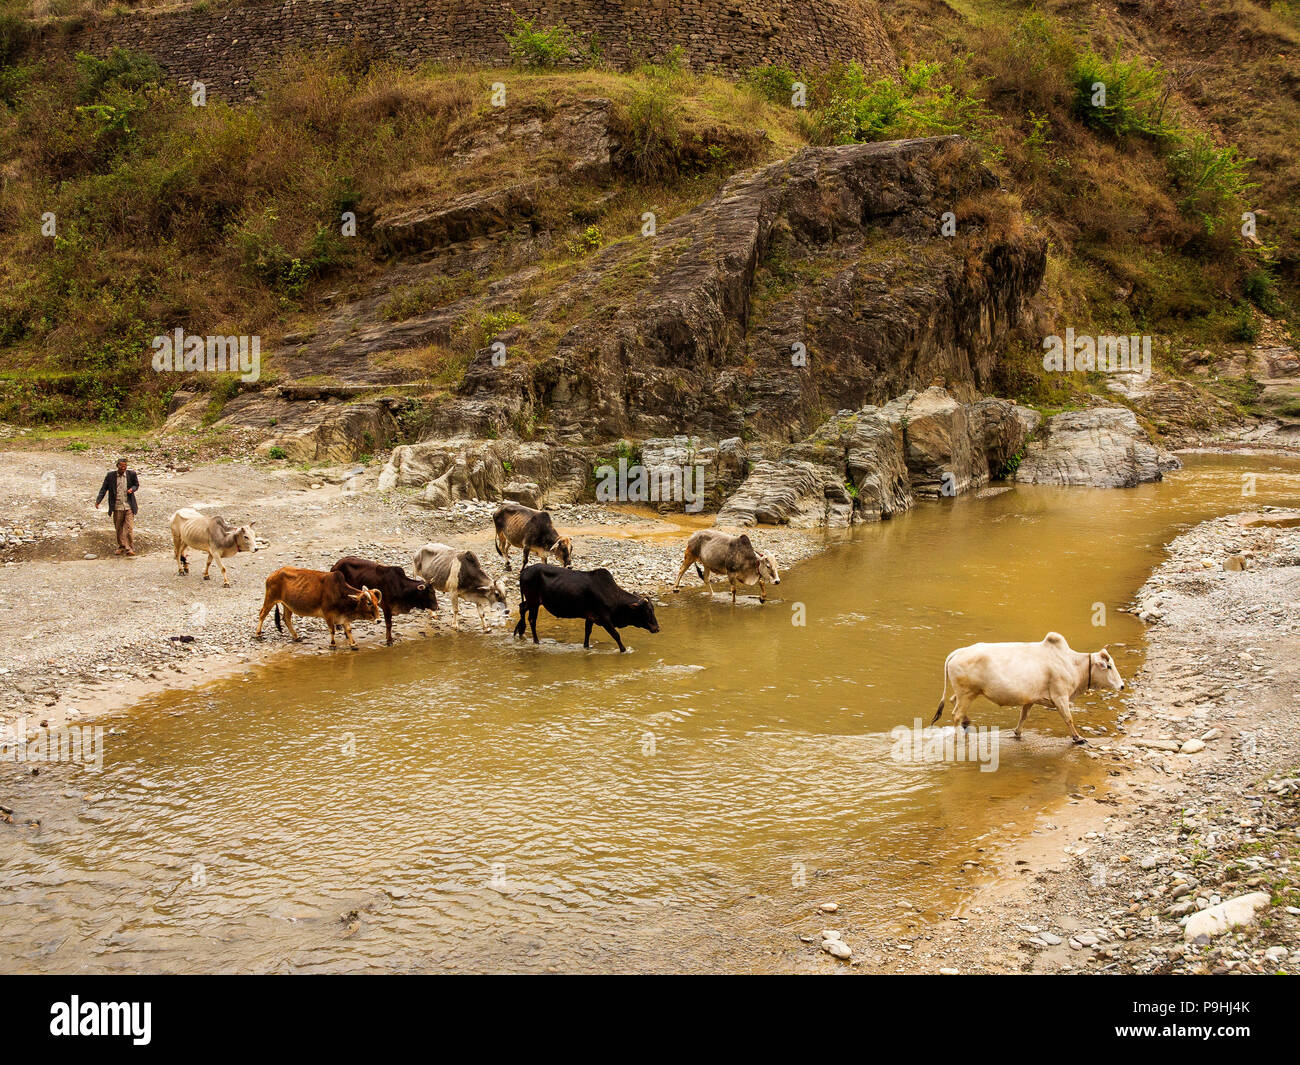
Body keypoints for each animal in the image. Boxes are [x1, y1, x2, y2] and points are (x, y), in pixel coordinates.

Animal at [254, 567, 382, 650]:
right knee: (262, 614)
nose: (379, 620)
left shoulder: (343, 616)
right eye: (369, 603)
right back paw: (258, 634)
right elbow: (332, 629)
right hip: (270, 598)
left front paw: (353, 644)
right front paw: (333, 644)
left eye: (377, 602)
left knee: (286, 618)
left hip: (287, 605)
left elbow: (348, 630)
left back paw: (296, 637)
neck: (340, 594)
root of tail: (273, 574)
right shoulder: (328, 613)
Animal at [514, 564, 658, 652]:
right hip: (533, 601)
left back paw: (519, 631)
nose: (657, 628)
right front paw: (624, 650)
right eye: (647, 611)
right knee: (532, 619)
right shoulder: (605, 619)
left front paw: (586, 647)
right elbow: (616, 635)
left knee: (521, 607)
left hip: (534, 602)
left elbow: (587, 633)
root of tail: (525, 571)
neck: (614, 596)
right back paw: (536, 641)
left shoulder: (590, 617)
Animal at [930, 632, 1126, 744]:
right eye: (1109, 666)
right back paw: (959, 737)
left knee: (954, 703)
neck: (1072, 664)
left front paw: (1017, 733)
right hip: (967, 693)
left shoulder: (1030, 700)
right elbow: (1068, 718)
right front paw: (1078, 738)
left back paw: (966, 724)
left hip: (967, 693)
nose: (1122, 685)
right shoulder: (1060, 696)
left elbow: (1023, 717)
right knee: (956, 714)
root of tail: (957, 652)